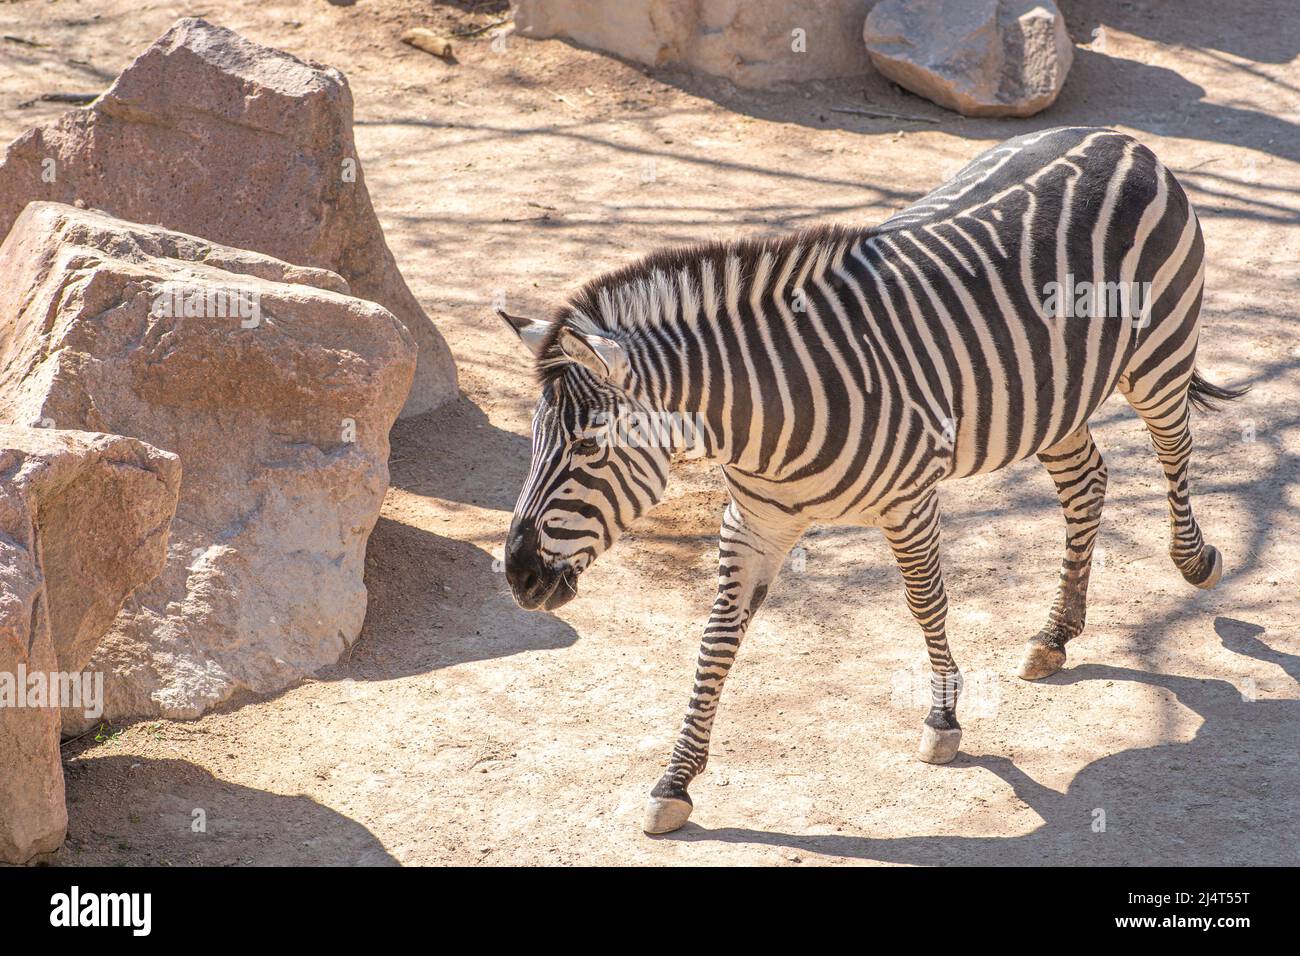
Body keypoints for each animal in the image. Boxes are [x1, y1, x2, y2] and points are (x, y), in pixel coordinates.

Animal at [500, 127, 1246, 835]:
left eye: (588, 448)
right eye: (533, 442)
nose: (516, 576)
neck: (766, 411)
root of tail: (1119, 139)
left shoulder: (908, 502)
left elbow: (926, 603)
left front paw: (943, 721)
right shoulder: (754, 522)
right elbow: (715, 639)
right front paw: (675, 781)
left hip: (1159, 351)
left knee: (1175, 445)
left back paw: (1195, 560)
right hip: (1051, 395)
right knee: (1087, 480)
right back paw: (1055, 635)